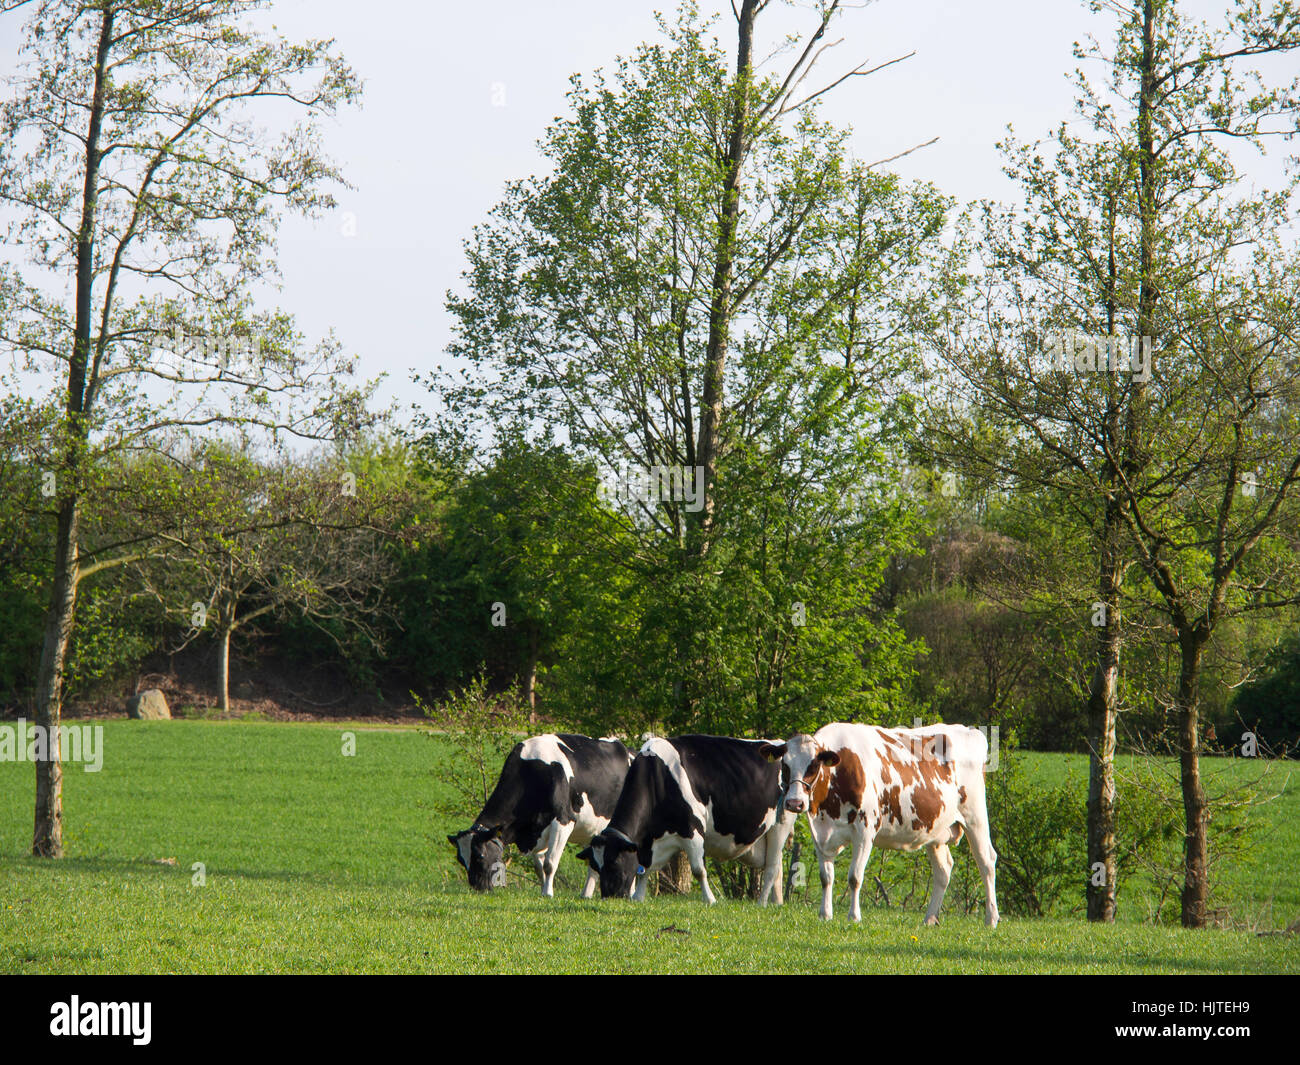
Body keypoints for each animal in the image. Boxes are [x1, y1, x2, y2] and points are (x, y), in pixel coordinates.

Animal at [448, 733, 632, 898]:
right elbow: (538, 866)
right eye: (460, 860)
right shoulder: (537, 831)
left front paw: (547, 893)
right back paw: (585, 895)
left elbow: (549, 863)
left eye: (480, 856)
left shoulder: (563, 821)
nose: (477, 887)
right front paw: (544, 889)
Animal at [577, 734, 794, 905]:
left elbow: (699, 870)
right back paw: (777, 903)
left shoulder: (693, 828)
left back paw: (762, 903)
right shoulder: (651, 839)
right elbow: (645, 869)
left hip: (781, 824)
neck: (657, 777)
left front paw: (710, 900)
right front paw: (638, 897)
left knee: (772, 867)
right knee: (777, 868)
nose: (609, 896)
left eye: (614, 862)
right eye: (595, 866)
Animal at [761, 722, 999, 927]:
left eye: (814, 765)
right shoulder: (820, 833)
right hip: (936, 831)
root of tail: (969, 730)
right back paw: (930, 918)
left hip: (975, 816)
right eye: (785, 765)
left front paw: (854, 916)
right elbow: (826, 877)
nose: (795, 802)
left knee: (986, 861)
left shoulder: (864, 832)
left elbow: (855, 877)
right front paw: (825, 914)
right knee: (944, 869)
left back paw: (991, 918)